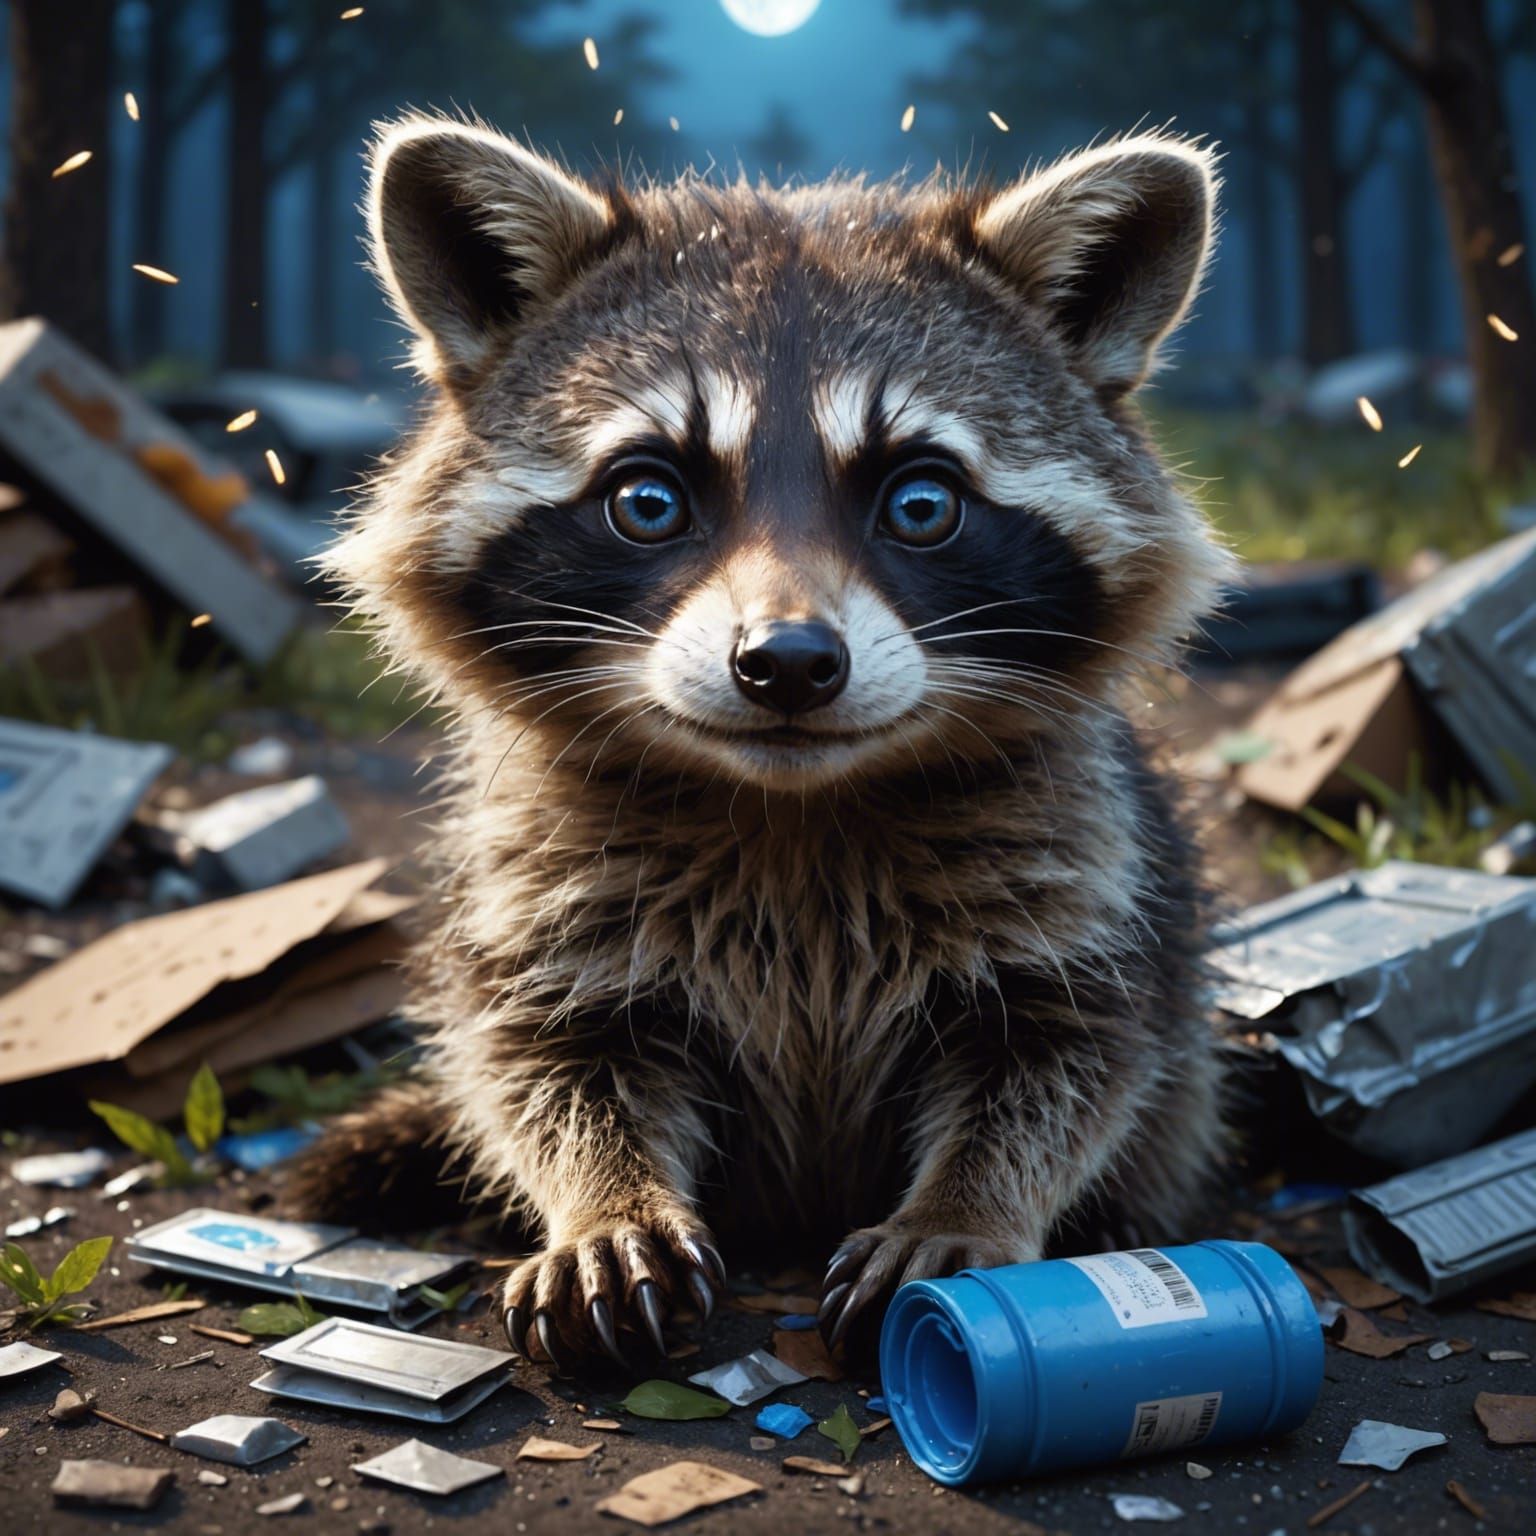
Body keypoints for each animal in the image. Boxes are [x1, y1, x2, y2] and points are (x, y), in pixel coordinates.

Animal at [285, 114, 1234, 1370]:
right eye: (648, 500)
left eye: (921, 503)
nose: (786, 663)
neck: (795, 806)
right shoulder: (536, 885)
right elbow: (548, 1062)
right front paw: (603, 1199)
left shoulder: (1087, 872)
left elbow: (1064, 1059)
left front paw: (971, 1206)